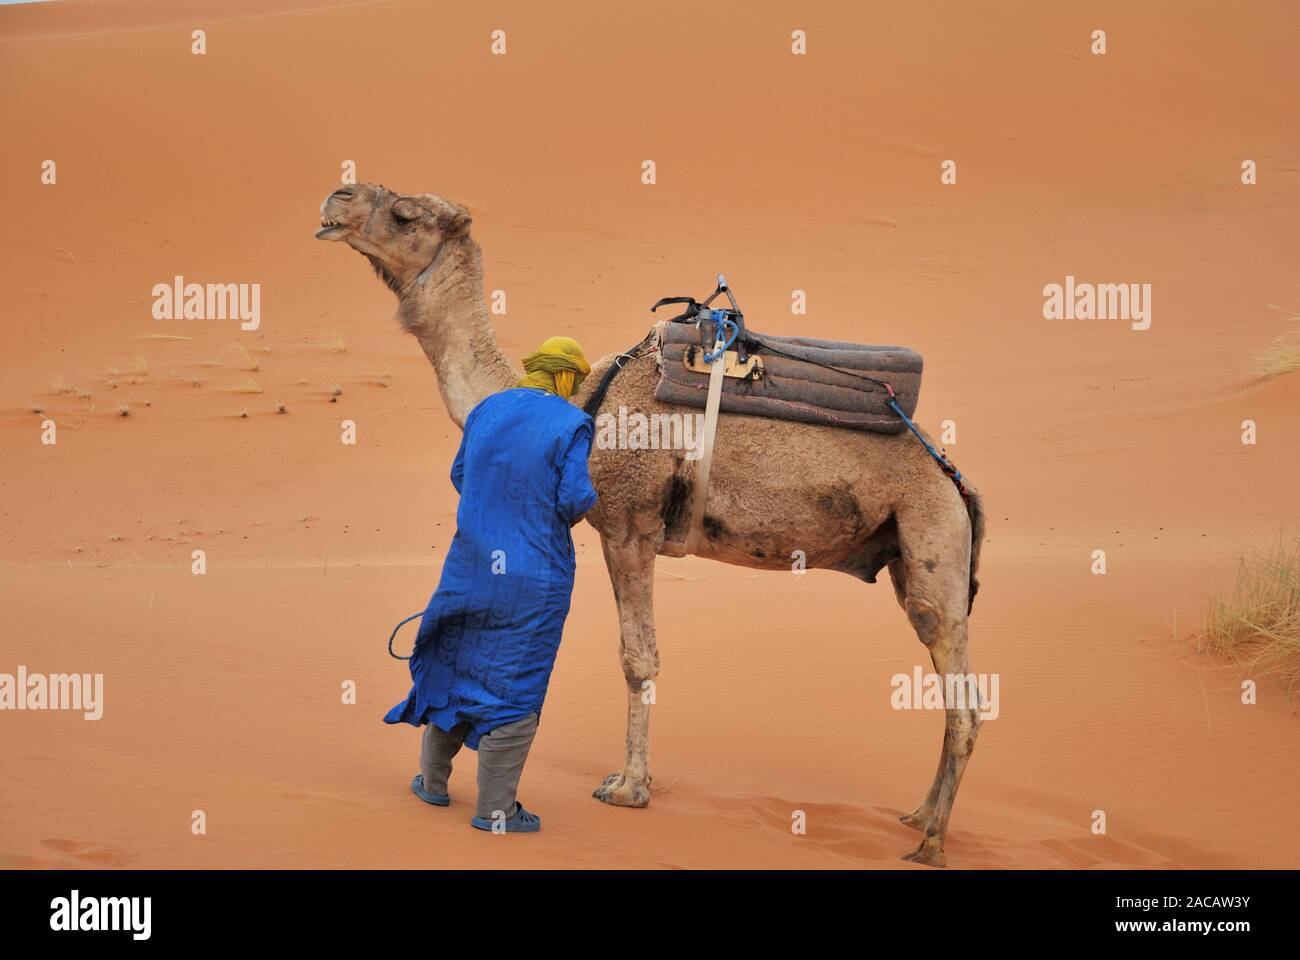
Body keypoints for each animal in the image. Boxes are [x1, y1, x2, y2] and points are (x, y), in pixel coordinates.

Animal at [315, 183, 986, 866]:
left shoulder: (628, 526)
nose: (338, 197)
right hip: (906, 552)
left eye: (403, 214)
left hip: (932, 537)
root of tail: (954, 480)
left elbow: (638, 657)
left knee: (963, 696)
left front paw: (628, 788)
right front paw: (628, 779)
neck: (580, 404)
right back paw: (917, 815)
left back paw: (931, 842)